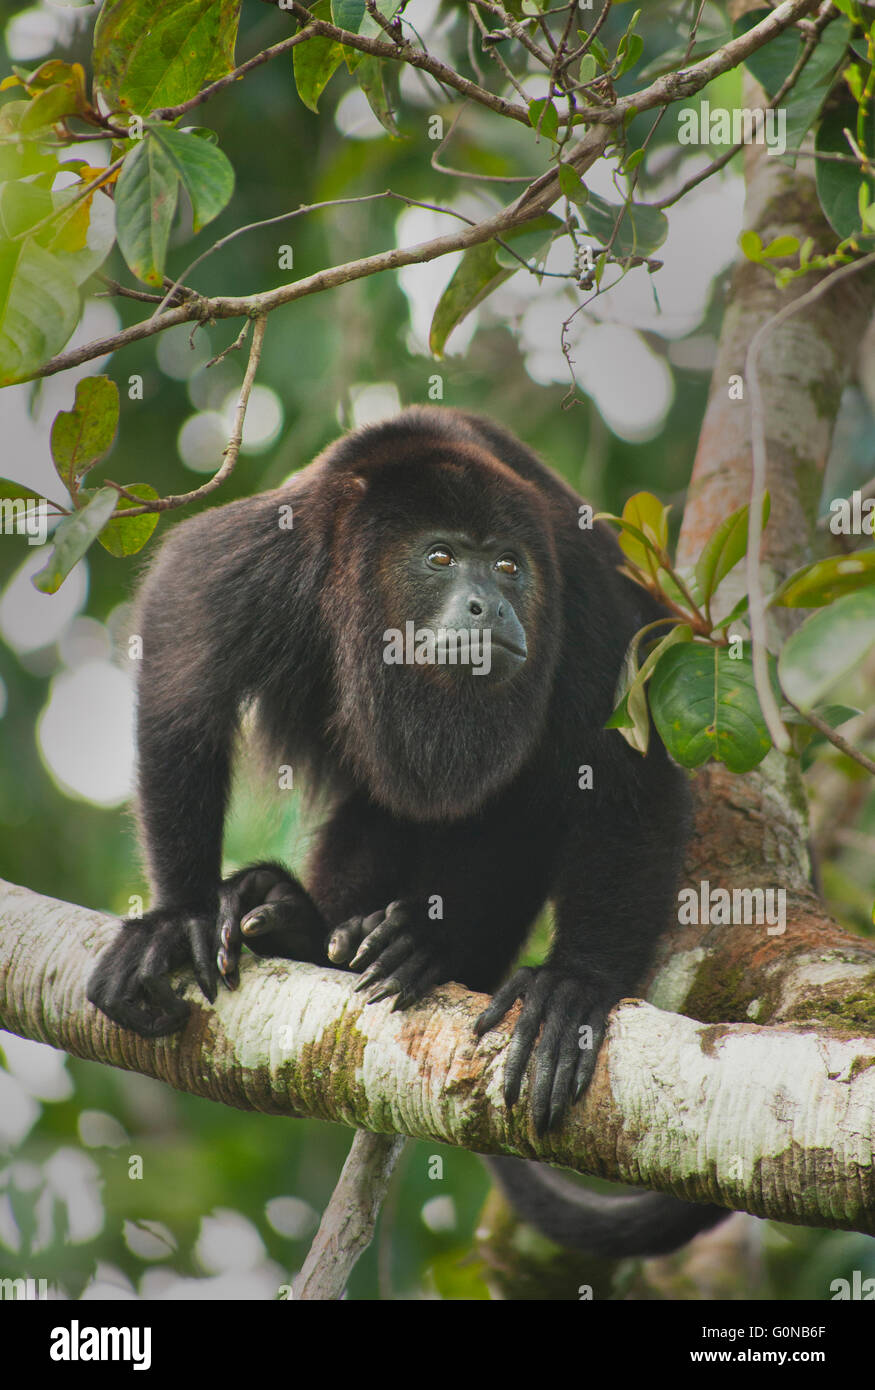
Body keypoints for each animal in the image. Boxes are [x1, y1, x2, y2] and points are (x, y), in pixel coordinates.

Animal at [88, 406, 727, 1257]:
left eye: (510, 566)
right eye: (440, 557)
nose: (491, 606)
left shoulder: (584, 598)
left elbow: (631, 777)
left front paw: (573, 986)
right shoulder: (261, 562)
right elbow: (181, 677)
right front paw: (176, 918)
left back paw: (418, 947)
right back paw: (296, 921)